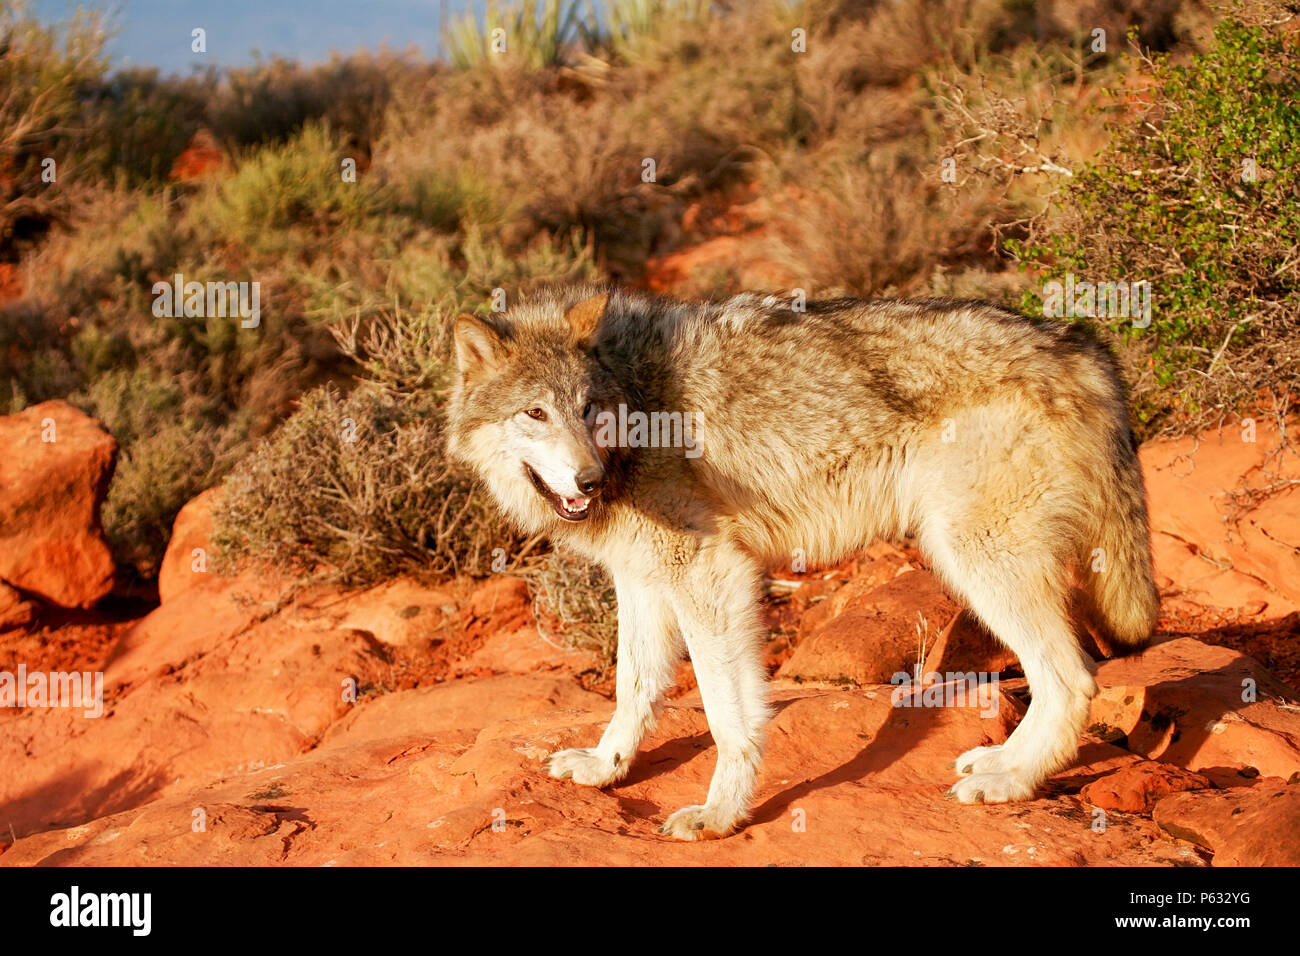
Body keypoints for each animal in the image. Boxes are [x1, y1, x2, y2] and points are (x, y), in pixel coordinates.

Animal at [447, 286, 1159, 840]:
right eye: (535, 412)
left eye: (586, 408)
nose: (588, 480)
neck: (637, 398)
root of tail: (1082, 343)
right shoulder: (644, 579)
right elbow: (633, 686)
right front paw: (606, 767)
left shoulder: (711, 574)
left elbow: (726, 714)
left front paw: (720, 814)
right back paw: (1000, 762)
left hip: (974, 559)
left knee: (1074, 681)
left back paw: (1011, 782)